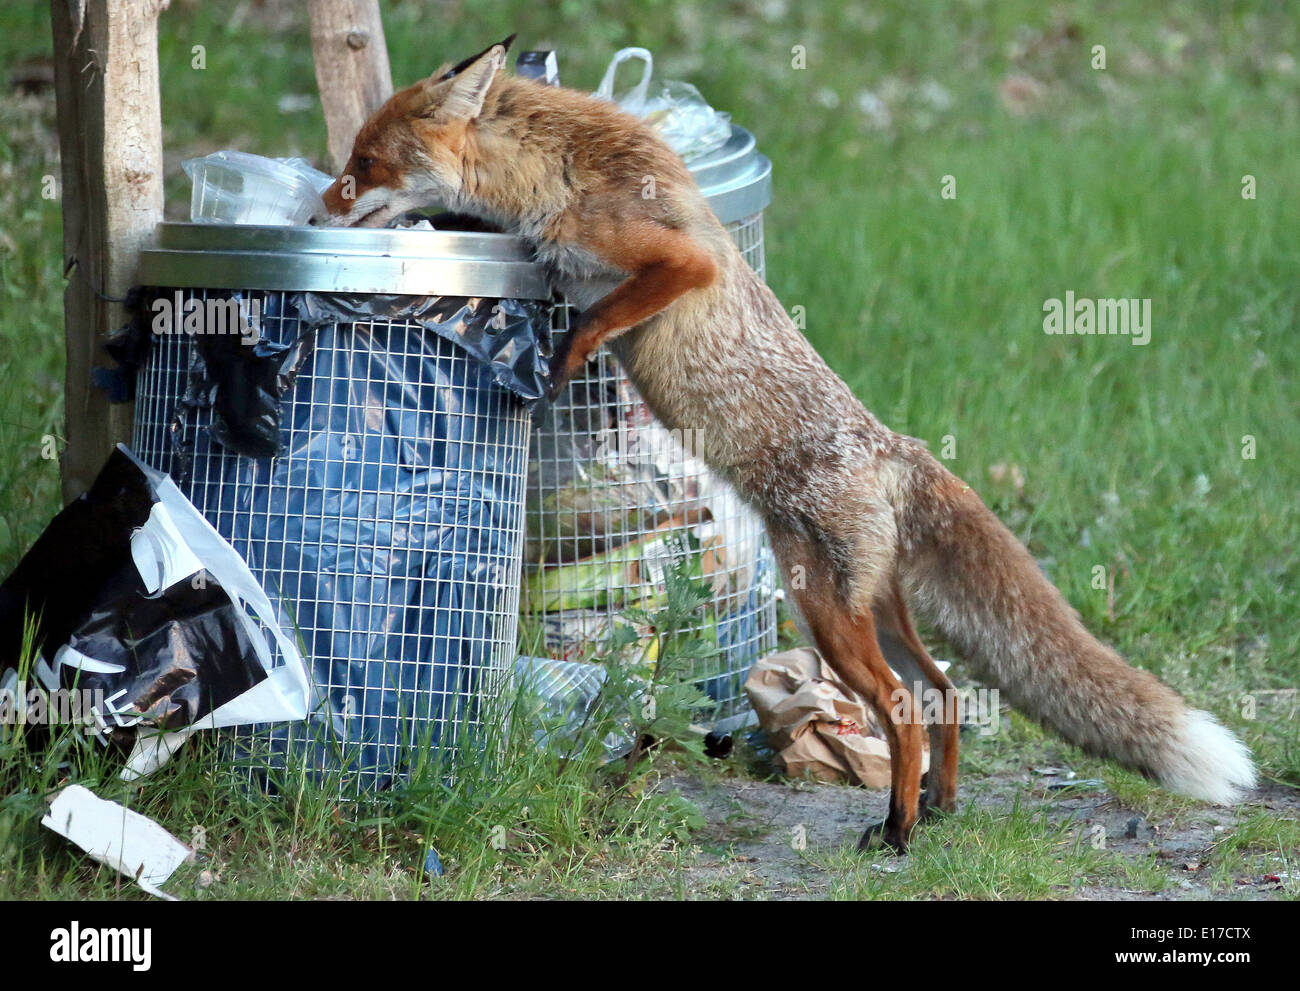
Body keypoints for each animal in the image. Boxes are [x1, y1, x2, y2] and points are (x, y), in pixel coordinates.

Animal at [319, 37, 1256, 851]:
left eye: (365, 161)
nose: (318, 207)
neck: (560, 168)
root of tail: (895, 448)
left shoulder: (676, 262)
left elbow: (594, 319)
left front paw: (557, 368)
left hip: (827, 613)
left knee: (903, 707)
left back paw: (897, 831)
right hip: (872, 607)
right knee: (945, 691)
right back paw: (942, 805)